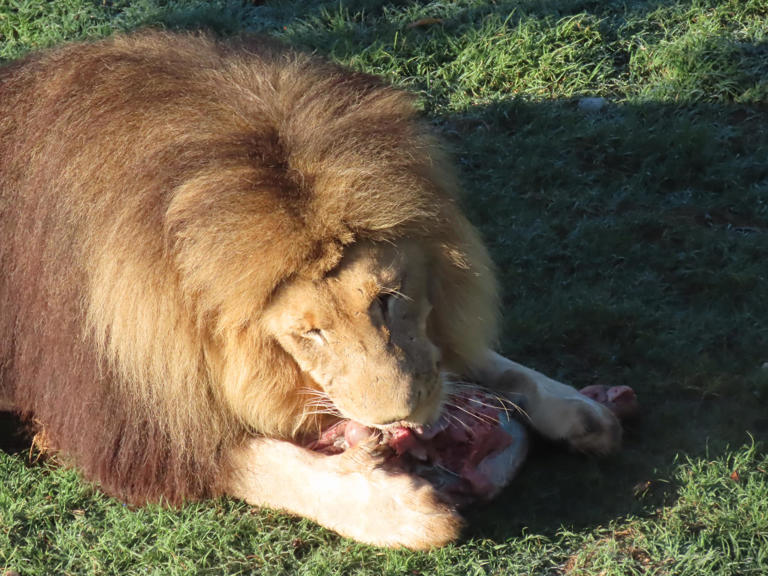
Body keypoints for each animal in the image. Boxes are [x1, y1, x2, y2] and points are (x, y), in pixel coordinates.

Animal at [0, 31, 621, 549]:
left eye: (388, 299)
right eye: (311, 334)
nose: (400, 418)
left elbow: (478, 361)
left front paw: (573, 405)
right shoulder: (127, 418)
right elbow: (266, 462)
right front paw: (396, 510)